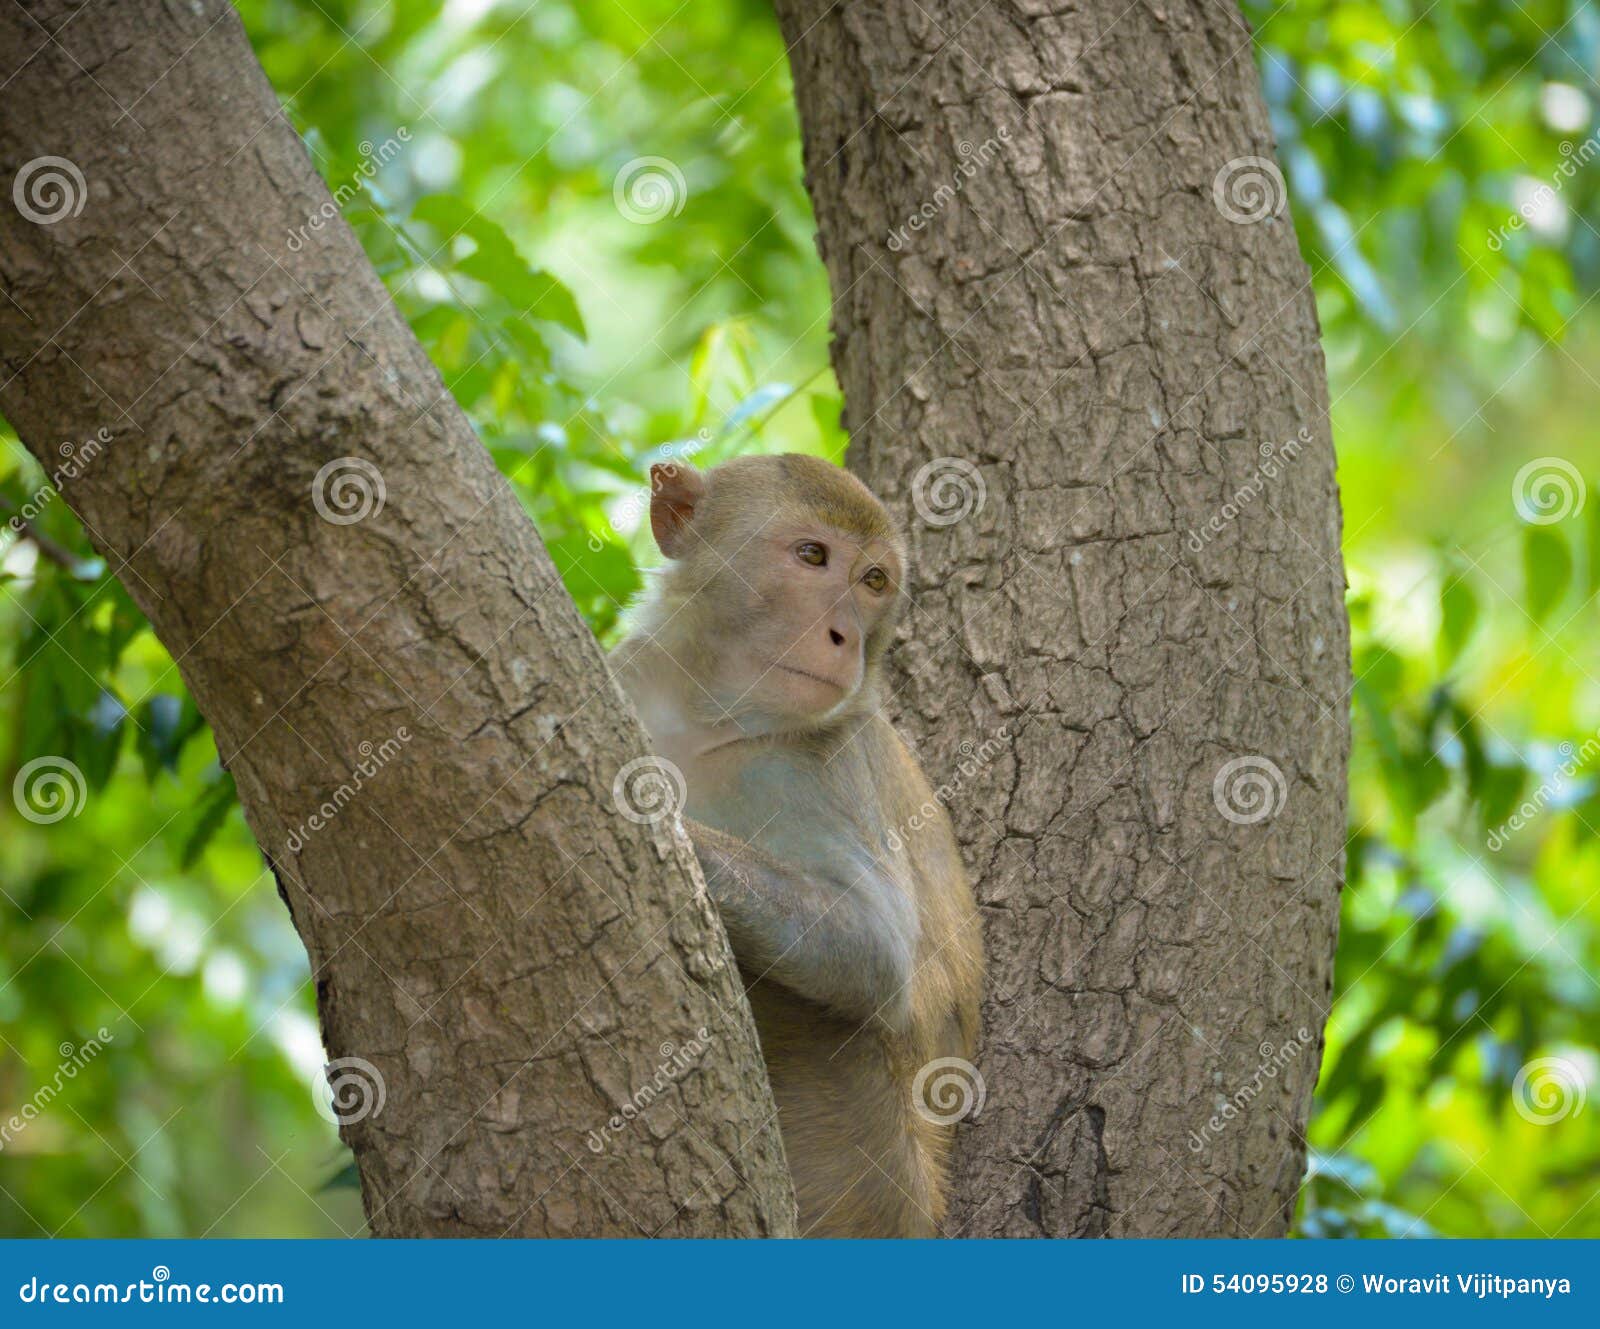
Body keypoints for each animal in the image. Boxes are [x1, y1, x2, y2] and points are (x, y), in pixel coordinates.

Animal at [610, 452, 983, 1238]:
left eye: (872, 581)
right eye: (813, 557)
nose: (843, 635)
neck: (709, 716)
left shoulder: (825, 759)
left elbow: (875, 948)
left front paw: (674, 828)